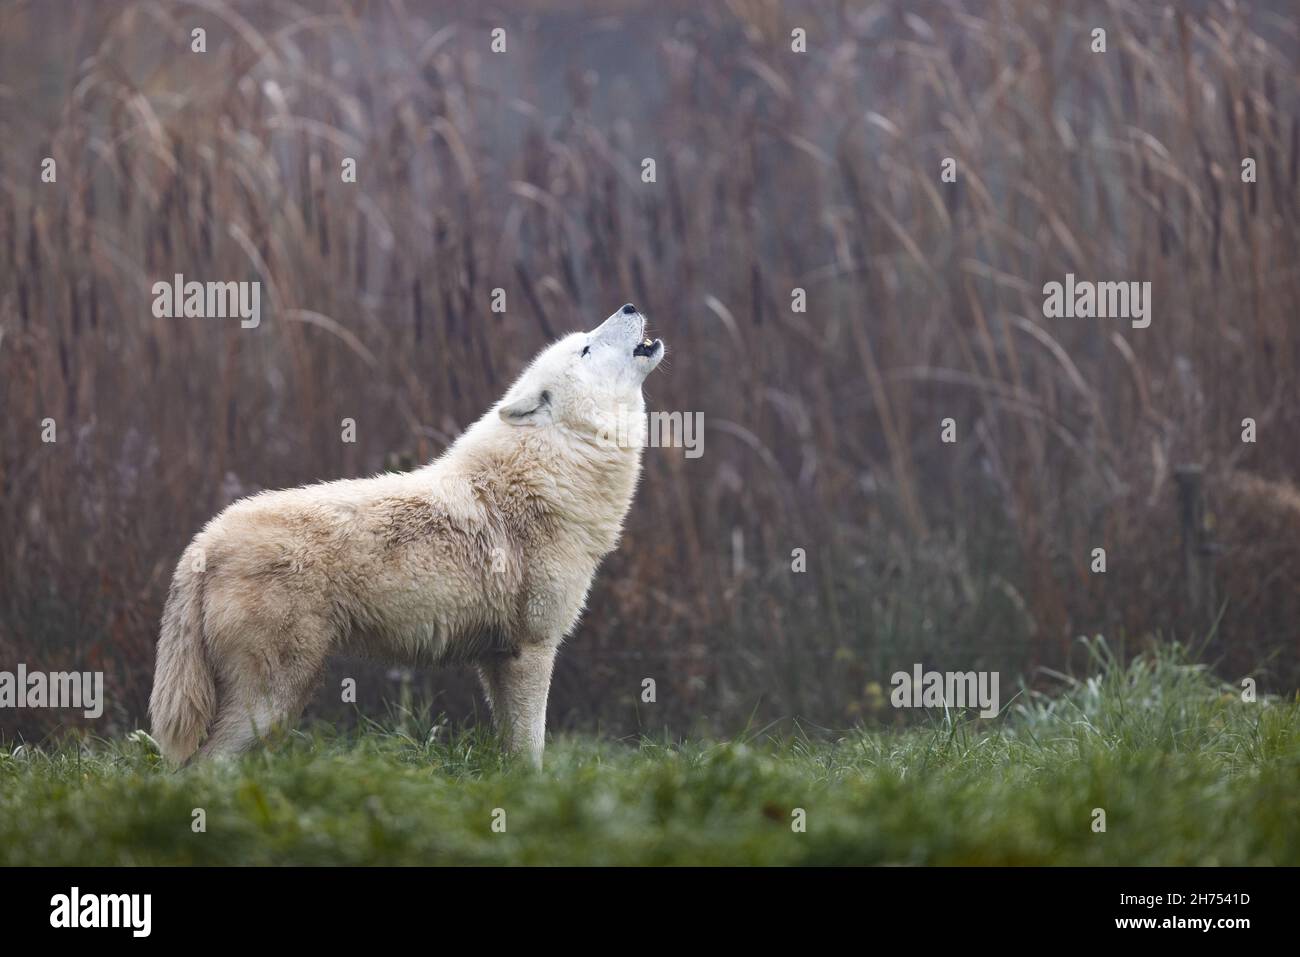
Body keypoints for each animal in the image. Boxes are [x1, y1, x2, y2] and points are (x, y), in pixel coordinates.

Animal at [148, 304, 664, 768]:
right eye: (586, 348)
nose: (630, 306)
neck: (550, 470)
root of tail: (204, 542)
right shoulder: (532, 650)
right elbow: (532, 750)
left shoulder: (497, 659)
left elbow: (511, 750)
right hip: (274, 700)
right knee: (203, 765)